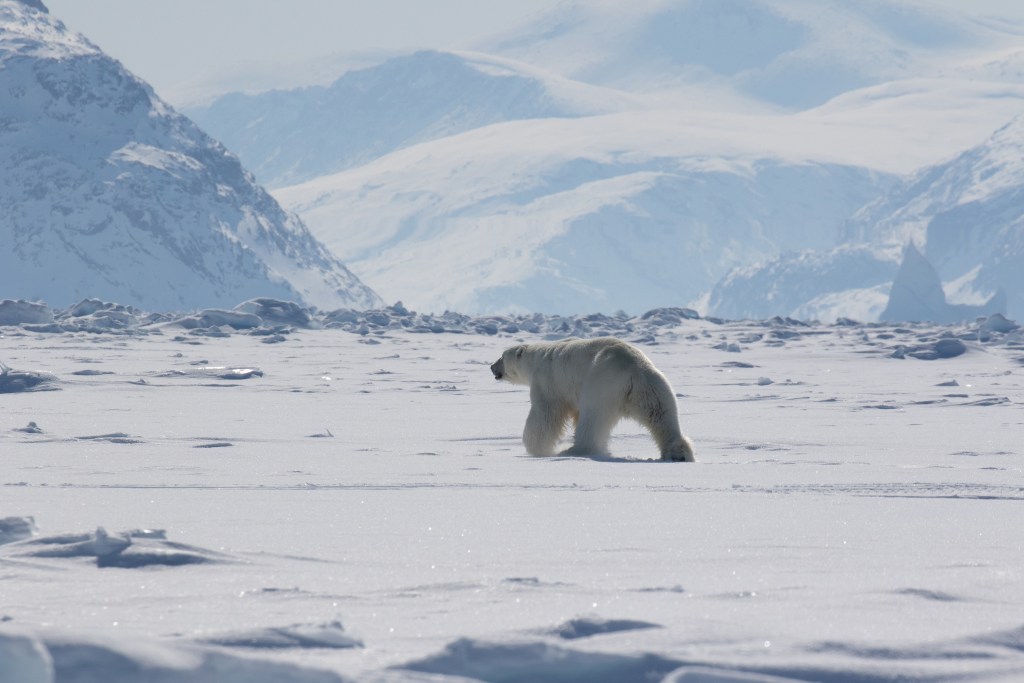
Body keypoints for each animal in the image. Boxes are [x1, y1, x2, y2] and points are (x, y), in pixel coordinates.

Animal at [491, 337, 695, 461]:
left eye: (501, 356)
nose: (492, 366)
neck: (537, 358)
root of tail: (633, 371)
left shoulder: (548, 382)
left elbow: (545, 414)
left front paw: (536, 448)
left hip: (600, 384)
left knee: (592, 420)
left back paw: (574, 450)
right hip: (654, 386)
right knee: (661, 415)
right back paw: (678, 453)